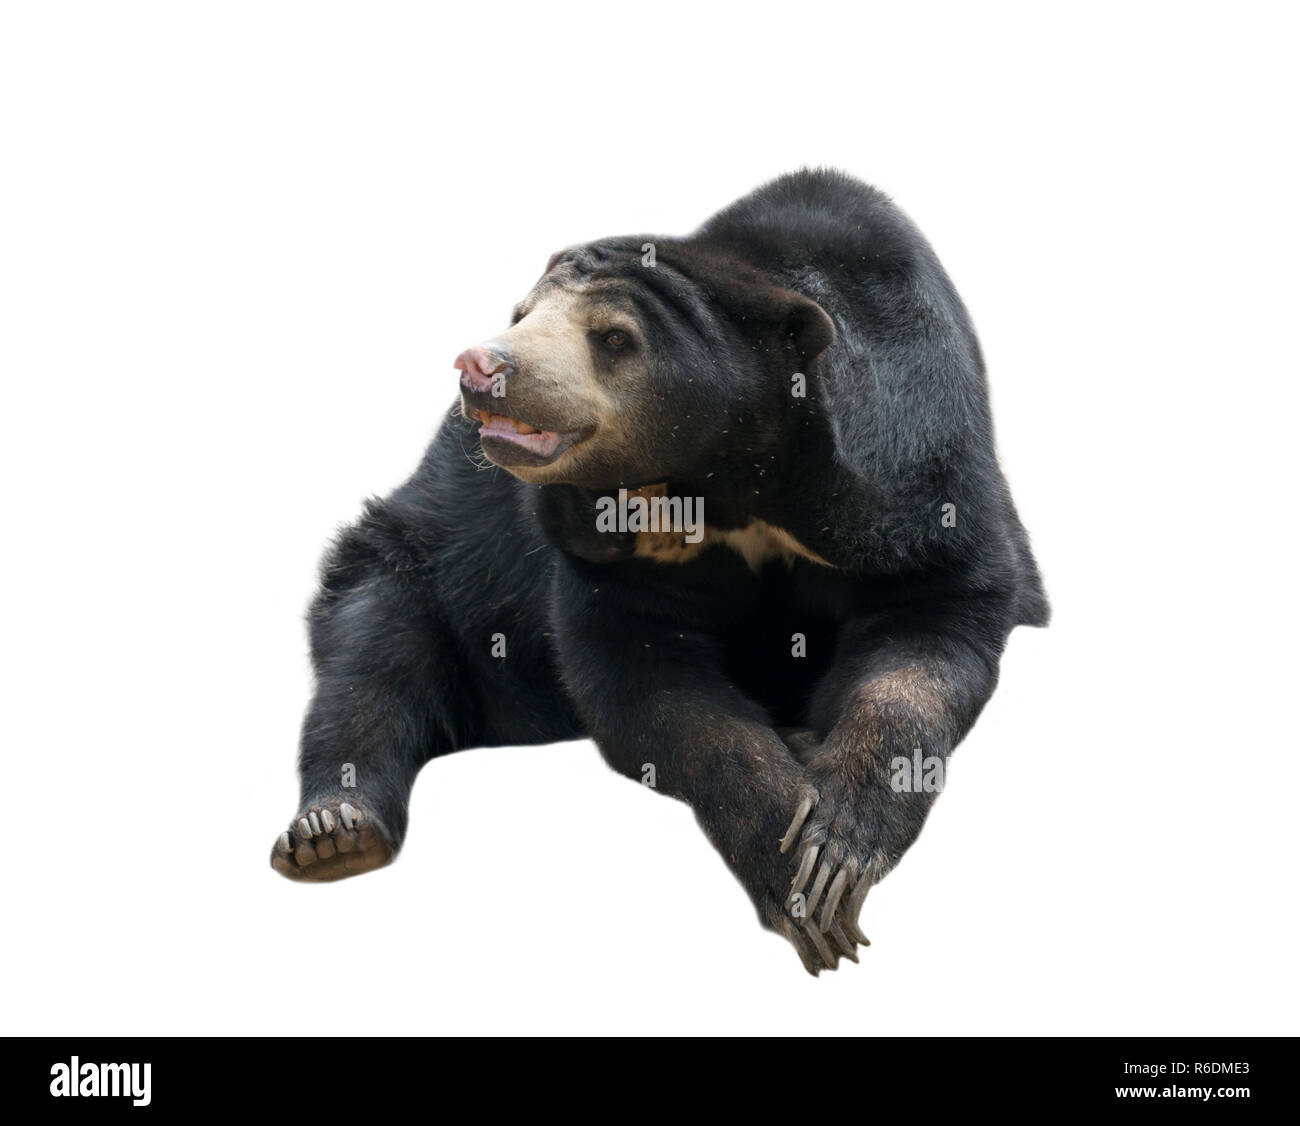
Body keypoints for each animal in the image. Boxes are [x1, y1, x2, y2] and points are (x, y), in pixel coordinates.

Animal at [270, 168, 1048, 974]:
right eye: (521, 314)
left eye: (614, 338)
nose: (482, 367)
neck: (727, 480)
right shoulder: (601, 550)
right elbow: (646, 679)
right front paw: (792, 874)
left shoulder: (915, 485)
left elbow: (926, 640)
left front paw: (835, 851)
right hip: (421, 563)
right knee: (372, 662)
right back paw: (334, 831)